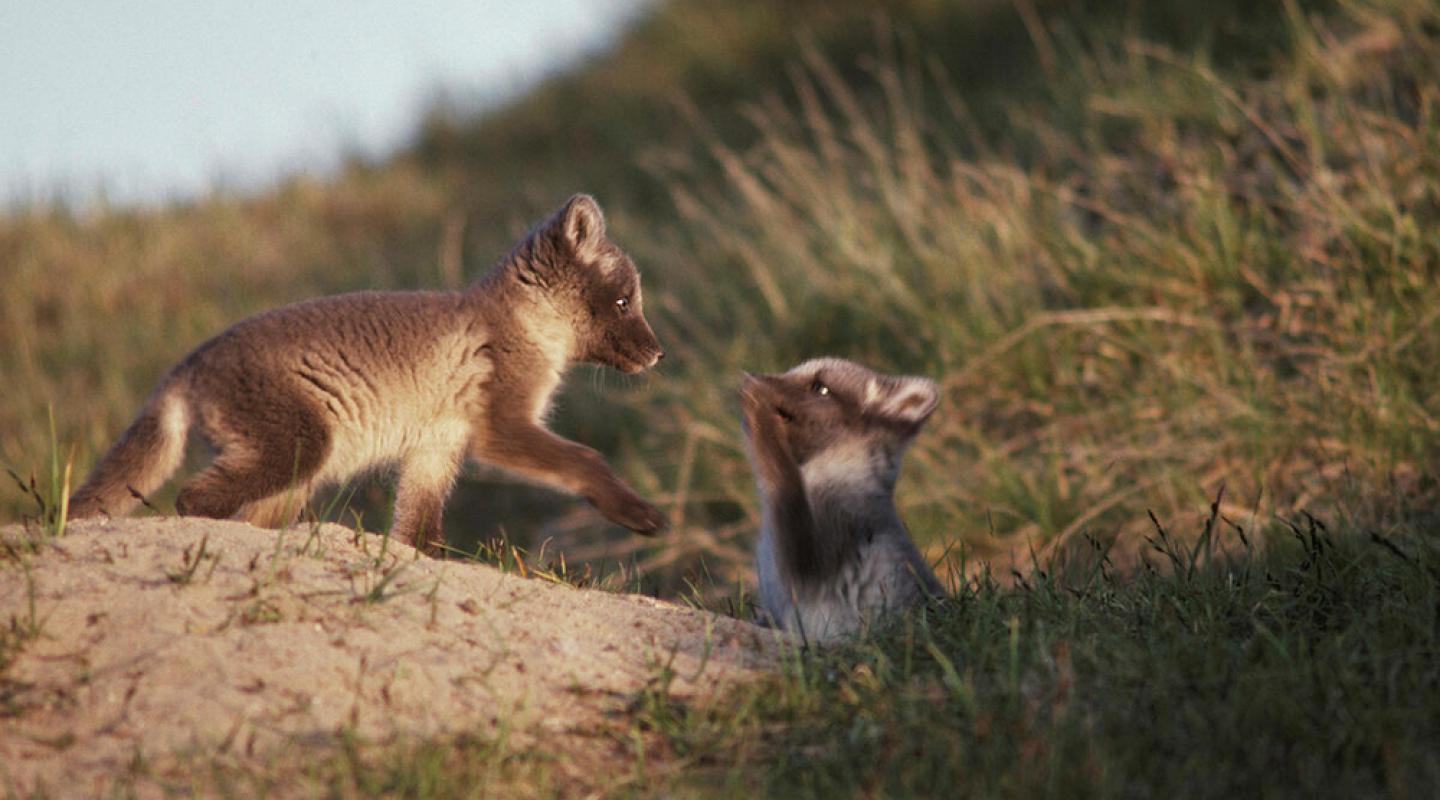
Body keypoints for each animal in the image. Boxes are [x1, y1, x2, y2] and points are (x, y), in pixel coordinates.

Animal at [68, 194, 668, 552]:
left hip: (295, 474)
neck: (521, 322)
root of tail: (185, 365)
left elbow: (417, 535)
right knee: (194, 500)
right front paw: (634, 510)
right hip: (300, 448)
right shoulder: (501, 429)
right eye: (623, 302)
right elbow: (585, 459)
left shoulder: (437, 449)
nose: (659, 353)